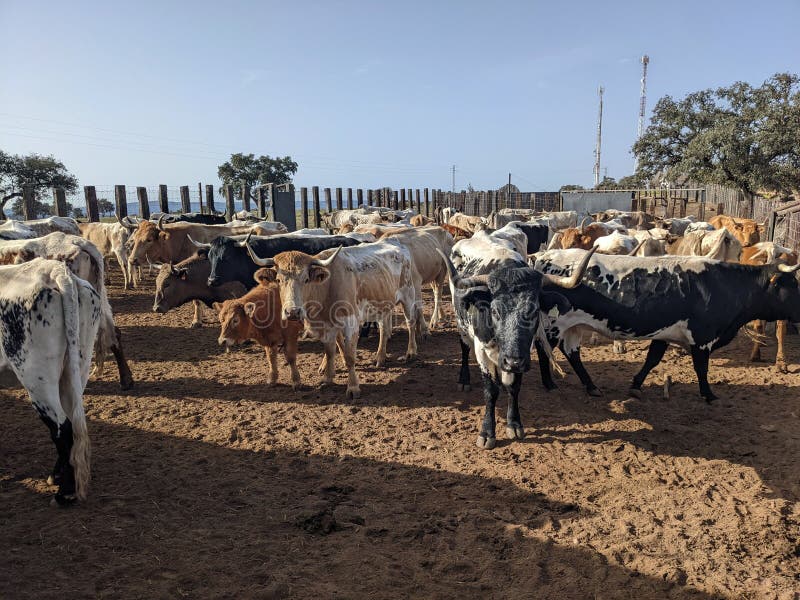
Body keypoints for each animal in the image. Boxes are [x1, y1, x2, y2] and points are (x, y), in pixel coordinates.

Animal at [0, 258, 100, 504]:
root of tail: (54, 269)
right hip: (77, 367)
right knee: (70, 425)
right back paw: (58, 477)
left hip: (37, 378)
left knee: (61, 427)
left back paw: (64, 492)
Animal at [246, 239, 423, 398]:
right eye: (278, 280)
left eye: (306, 279)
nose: (293, 312)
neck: (327, 288)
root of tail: (398, 245)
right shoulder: (326, 326)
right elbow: (330, 350)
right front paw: (327, 378)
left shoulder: (351, 323)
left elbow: (350, 357)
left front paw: (353, 387)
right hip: (383, 304)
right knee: (384, 329)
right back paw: (380, 357)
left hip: (408, 295)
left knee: (410, 323)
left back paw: (411, 352)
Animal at [437, 230, 595, 449]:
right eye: (494, 311)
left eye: (534, 311)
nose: (512, 361)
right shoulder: (482, 350)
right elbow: (491, 390)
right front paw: (487, 432)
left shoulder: (523, 352)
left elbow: (513, 387)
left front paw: (514, 423)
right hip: (461, 325)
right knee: (464, 347)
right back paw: (464, 379)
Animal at [531, 249, 800, 401]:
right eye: (793, 285)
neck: (725, 285)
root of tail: (544, 258)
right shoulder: (702, 338)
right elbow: (701, 368)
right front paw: (708, 394)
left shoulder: (663, 334)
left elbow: (652, 359)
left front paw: (636, 385)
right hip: (554, 325)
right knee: (544, 350)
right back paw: (549, 383)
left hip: (573, 326)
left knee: (571, 353)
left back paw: (591, 386)